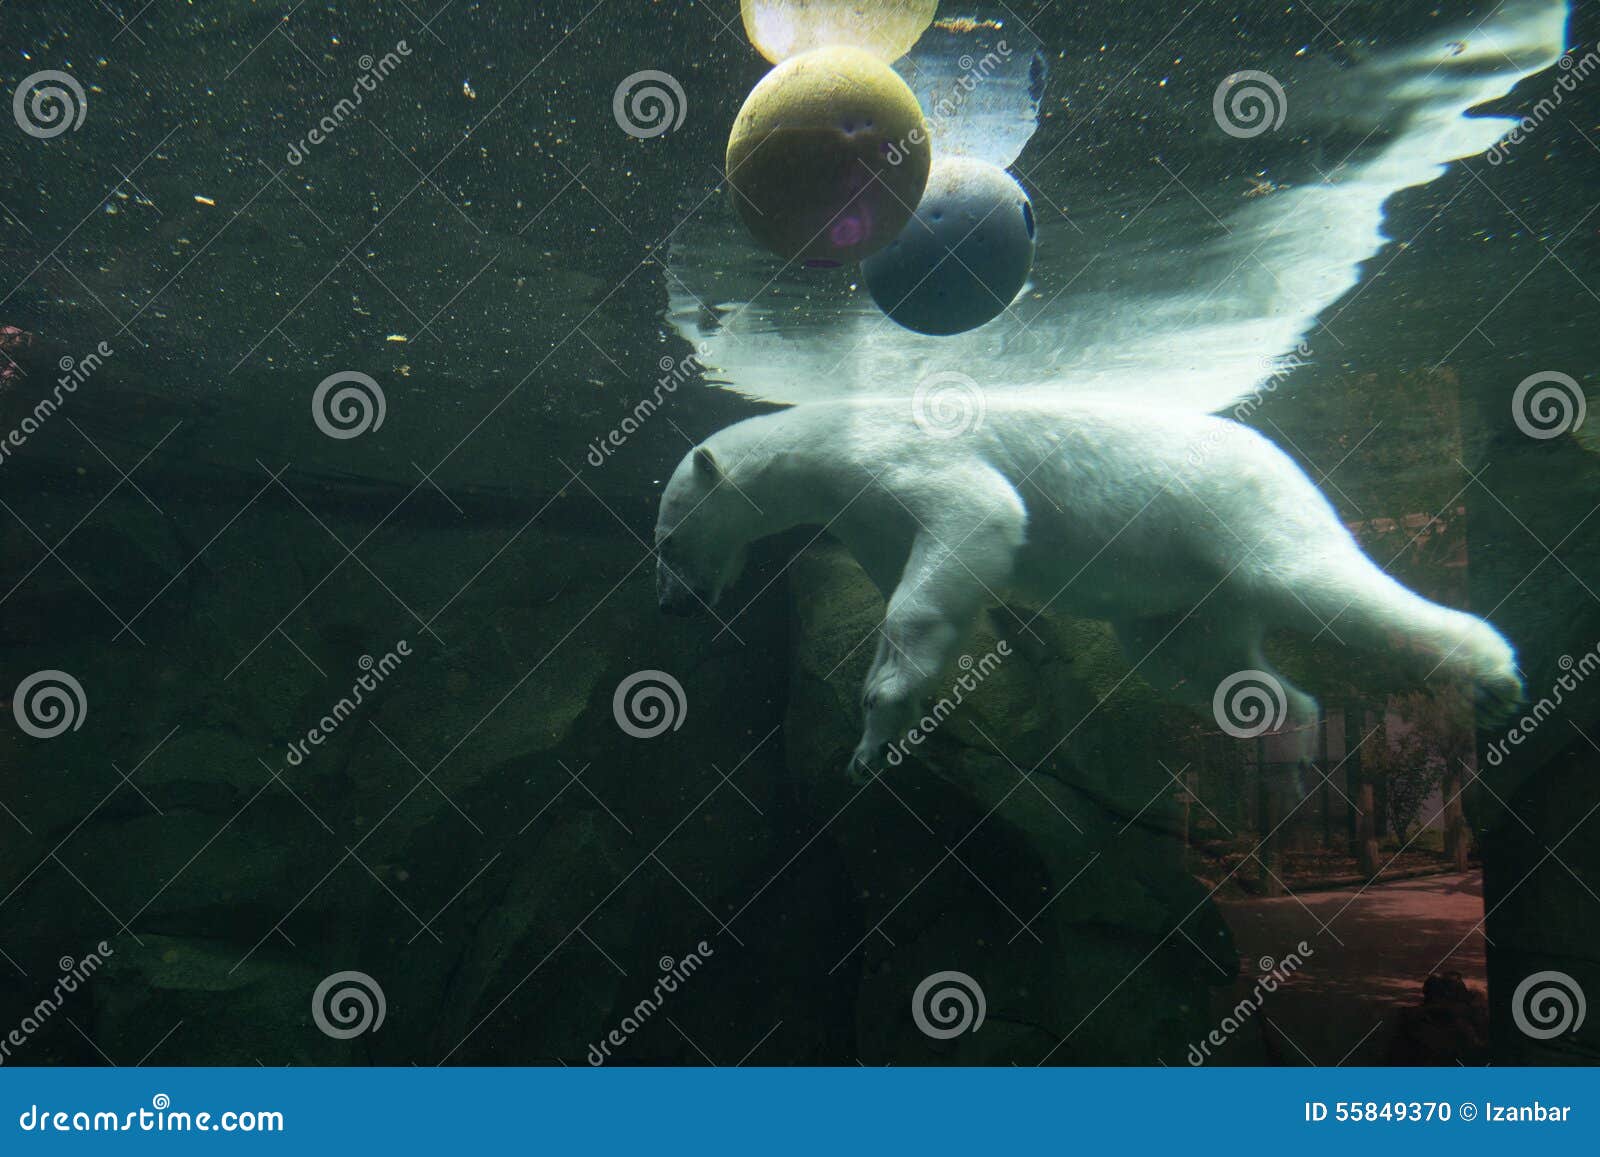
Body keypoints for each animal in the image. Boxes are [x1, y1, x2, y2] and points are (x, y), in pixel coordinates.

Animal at [654, 394, 1524, 777]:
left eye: (665, 539)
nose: (674, 604)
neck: (831, 433)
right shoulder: (867, 516)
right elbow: (938, 592)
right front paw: (880, 735)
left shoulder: (902, 456)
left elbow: (978, 517)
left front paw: (878, 715)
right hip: (1184, 585)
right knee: (1189, 654)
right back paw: (1290, 723)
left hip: (1232, 504)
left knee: (1314, 580)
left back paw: (1490, 673)